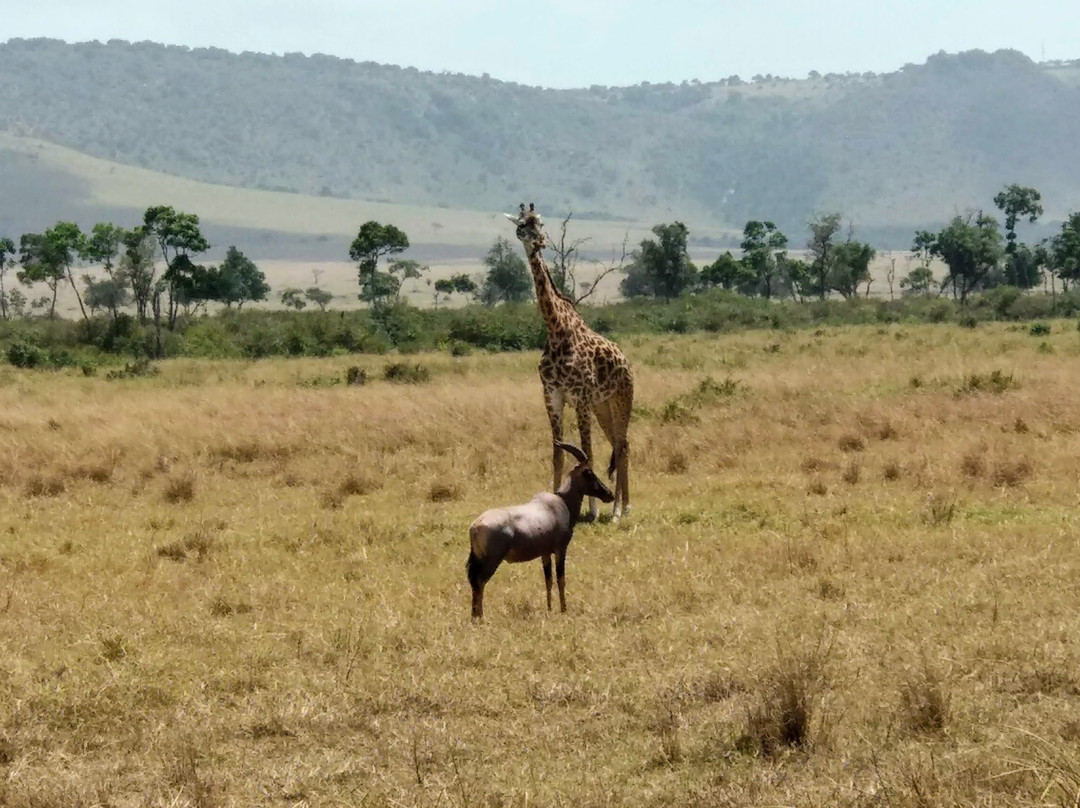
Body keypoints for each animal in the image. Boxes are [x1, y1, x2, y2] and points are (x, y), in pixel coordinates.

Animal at [505, 202, 630, 518]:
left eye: (539, 222)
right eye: (521, 223)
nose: (537, 241)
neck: (556, 329)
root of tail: (626, 360)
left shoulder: (581, 398)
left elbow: (588, 451)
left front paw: (594, 510)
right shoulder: (552, 396)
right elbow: (558, 454)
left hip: (621, 398)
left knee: (623, 444)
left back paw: (620, 510)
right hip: (603, 406)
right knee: (618, 443)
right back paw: (622, 506)